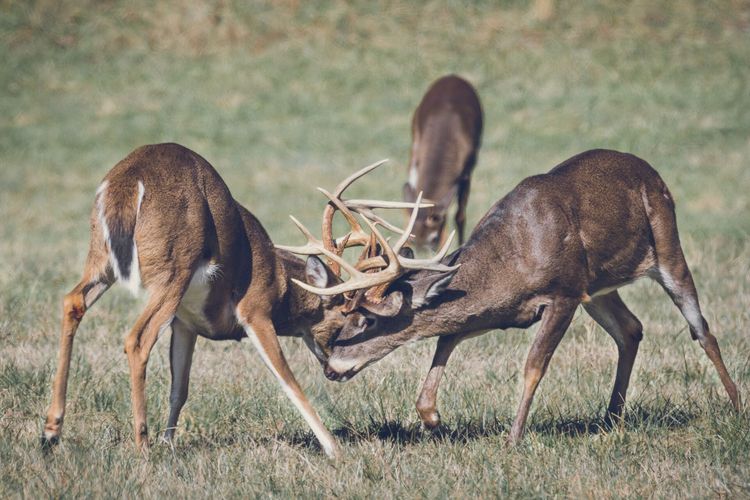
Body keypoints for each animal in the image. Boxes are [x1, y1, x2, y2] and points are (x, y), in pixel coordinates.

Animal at [40, 144, 422, 457]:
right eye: (353, 318)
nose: (335, 371)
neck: (280, 280)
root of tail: (128, 182)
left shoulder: (185, 322)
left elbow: (180, 387)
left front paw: (169, 441)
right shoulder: (255, 309)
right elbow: (288, 379)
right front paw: (334, 449)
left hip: (101, 257)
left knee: (72, 301)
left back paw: (52, 432)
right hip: (173, 268)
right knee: (136, 339)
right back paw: (141, 445)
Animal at [282, 149, 741, 444]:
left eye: (369, 319)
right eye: (345, 316)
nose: (331, 368)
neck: (511, 261)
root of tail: (652, 171)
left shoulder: (563, 293)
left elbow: (533, 366)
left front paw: (513, 438)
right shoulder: (496, 312)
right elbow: (443, 343)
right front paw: (436, 422)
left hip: (665, 243)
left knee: (700, 328)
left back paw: (735, 404)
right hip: (598, 289)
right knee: (631, 329)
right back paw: (610, 419)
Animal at [402, 74, 483, 251]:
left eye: (434, 239)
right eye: (412, 240)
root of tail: (453, 76)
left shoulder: (466, 171)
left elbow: (460, 216)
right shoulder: (416, 152)